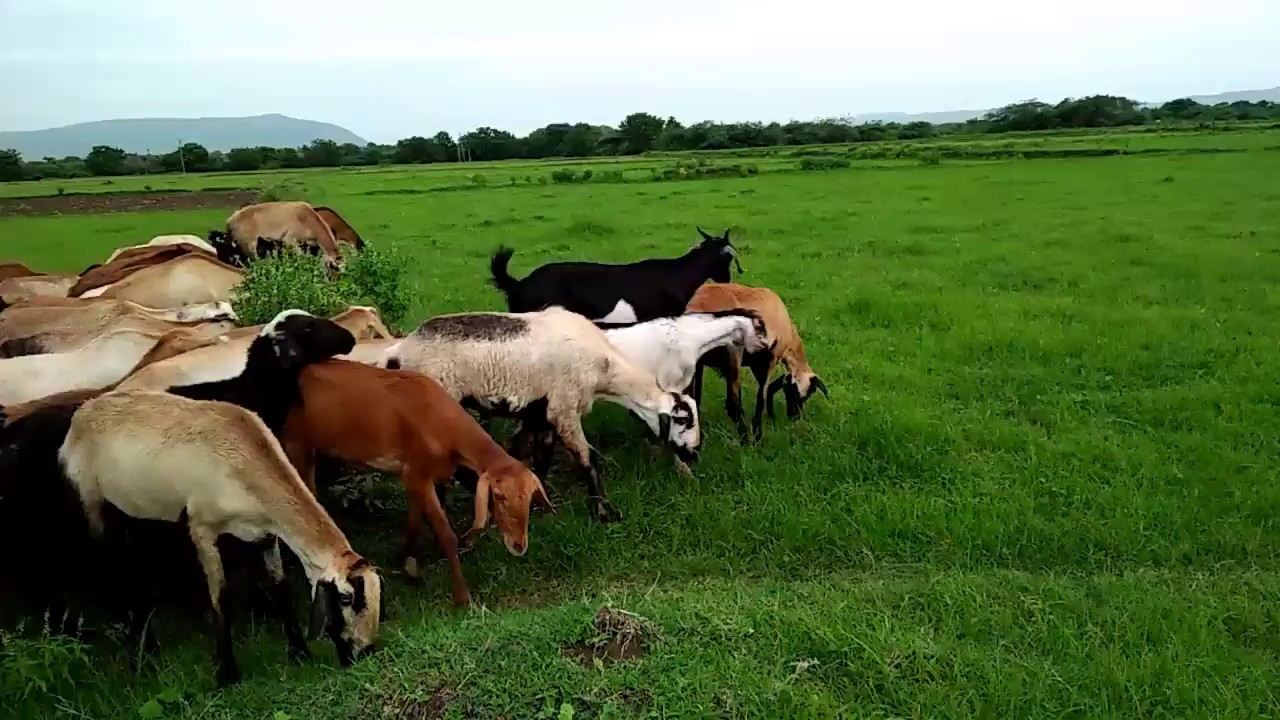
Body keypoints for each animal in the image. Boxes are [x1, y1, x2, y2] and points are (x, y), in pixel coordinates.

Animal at [59, 390, 383, 685]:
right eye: (346, 597)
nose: (365, 653)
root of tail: (82, 412)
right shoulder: (202, 528)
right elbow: (221, 598)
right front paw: (227, 674)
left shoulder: (264, 536)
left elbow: (280, 587)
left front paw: (299, 653)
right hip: (92, 500)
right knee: (110, 566)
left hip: (137, 512)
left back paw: (147, 644)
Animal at [281, 359, 554, 606]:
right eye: (498, 496)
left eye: (529, 498)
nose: (519, 546)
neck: (440, 422)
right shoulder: (420, 476)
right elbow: (446, 535)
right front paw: (462, 598)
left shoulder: (411, 477)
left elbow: (414, 524)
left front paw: (407, 565)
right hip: (296, 443)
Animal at [385, 306, 701, 522]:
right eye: (682, 419)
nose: (694, 453)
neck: (605, 372)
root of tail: (399, 350)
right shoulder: (564, 406)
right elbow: (587, 457)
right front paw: (604, 512)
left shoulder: (543, 412)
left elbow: (544, 456)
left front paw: (540, 502)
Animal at [686, 282, 828, 441]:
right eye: (806, 395)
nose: (794, 416)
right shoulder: (769, 359)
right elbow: (762, 396)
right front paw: (758, 433)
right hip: (733, 353)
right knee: (733, 406)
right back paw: (745, 439)